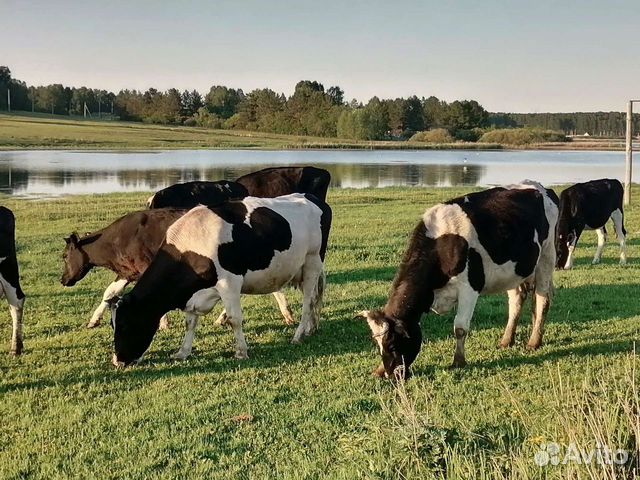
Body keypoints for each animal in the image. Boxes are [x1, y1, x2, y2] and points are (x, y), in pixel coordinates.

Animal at [109, 193, 332, 367]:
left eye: (125, 325)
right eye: (113, 325)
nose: (118, 361)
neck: (191, 247)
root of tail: (313, 198)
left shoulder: (229, 283)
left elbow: (235, 319)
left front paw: (241, 352)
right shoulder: (194, 294)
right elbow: (190, 322)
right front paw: (183, 352)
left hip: (312, 262)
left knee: (307, 302)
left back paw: (298, 335)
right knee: (314, 299)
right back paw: (311, 329)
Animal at [359, 182, 558, 380]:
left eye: (393, 345)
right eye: (379, 346)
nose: (393, 375)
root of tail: (540, 187)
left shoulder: (469, 287)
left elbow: (460, 327)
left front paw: (458, 361)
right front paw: (379, 369)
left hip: (547, 256)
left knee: (542, 299)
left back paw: (534, 342)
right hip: (515, 270)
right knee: (516, 301)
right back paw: (506, 340)